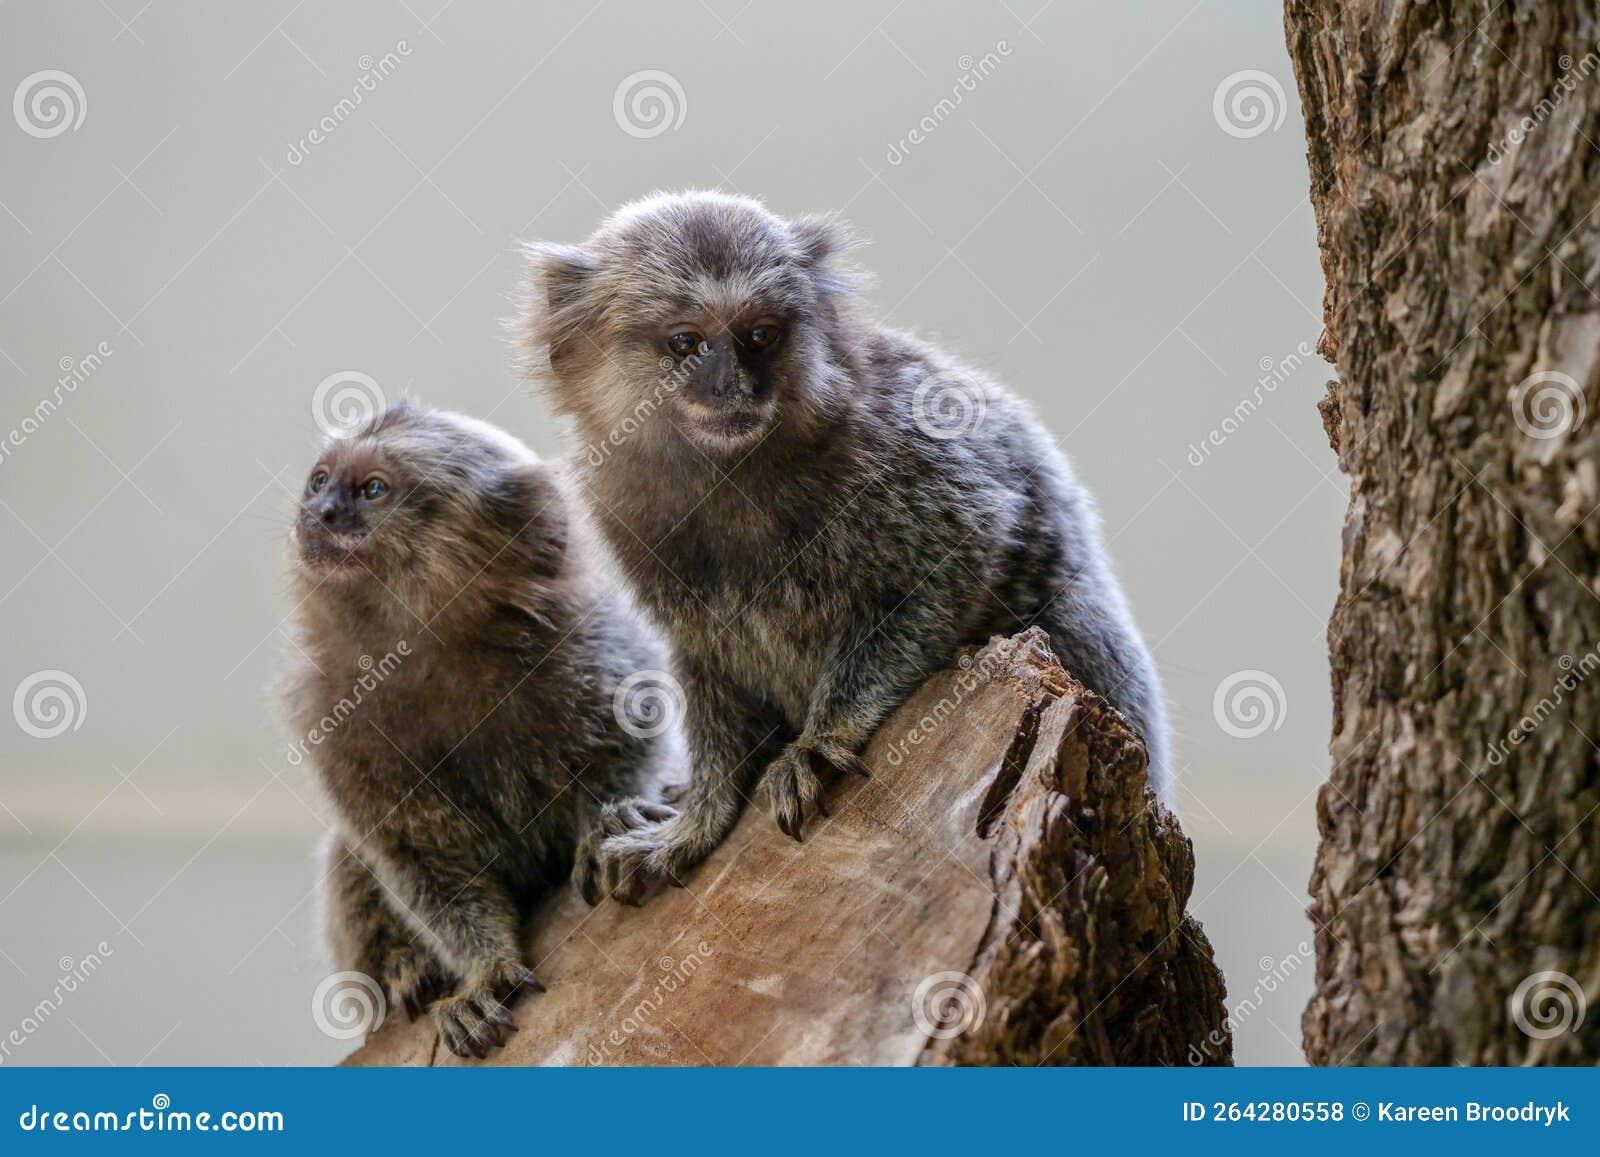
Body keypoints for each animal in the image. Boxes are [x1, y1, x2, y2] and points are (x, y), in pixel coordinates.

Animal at [284, 400, 676, 1056]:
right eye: (319, 481)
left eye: (372, 489)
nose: (322, 513)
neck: (431, 649)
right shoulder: (336, 725)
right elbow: (422, 864)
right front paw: (482, 972)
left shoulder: (596, 645)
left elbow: (634, 743)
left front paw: (614, 817)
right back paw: (406, 968)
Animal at [515, 190, 1170, 906]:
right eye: (687, 342)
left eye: (760, 334)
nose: (734, 385)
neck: (729, 474)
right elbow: (709, 662)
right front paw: (697, 821)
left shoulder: (904, 447)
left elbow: (948, 566)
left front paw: (820, 740)